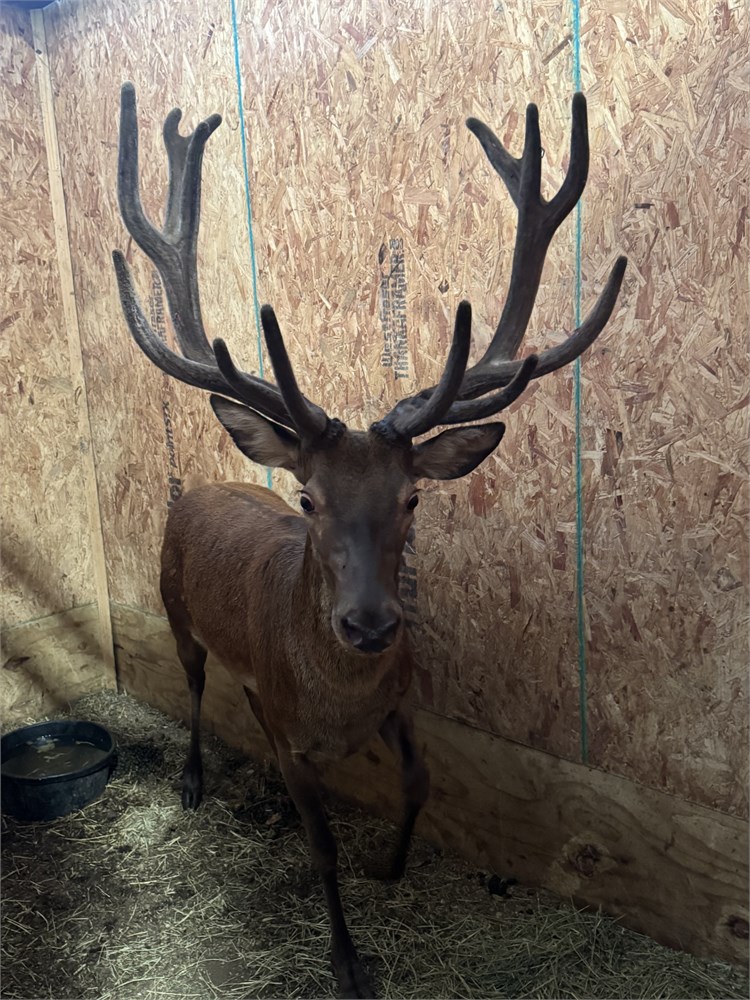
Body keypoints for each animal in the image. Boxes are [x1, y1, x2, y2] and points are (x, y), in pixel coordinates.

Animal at [112, 80, 626, 998]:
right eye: (309, 498)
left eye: (414, 497)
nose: (370, 624)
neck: (336, 704)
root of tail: (202, 483)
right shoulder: (294, 738)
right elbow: (321, 847)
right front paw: (348, 960)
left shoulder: (398, 703)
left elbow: (420, 782)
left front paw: (390, 864)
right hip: (173, 605)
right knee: (198, 684)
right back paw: (195, 779)